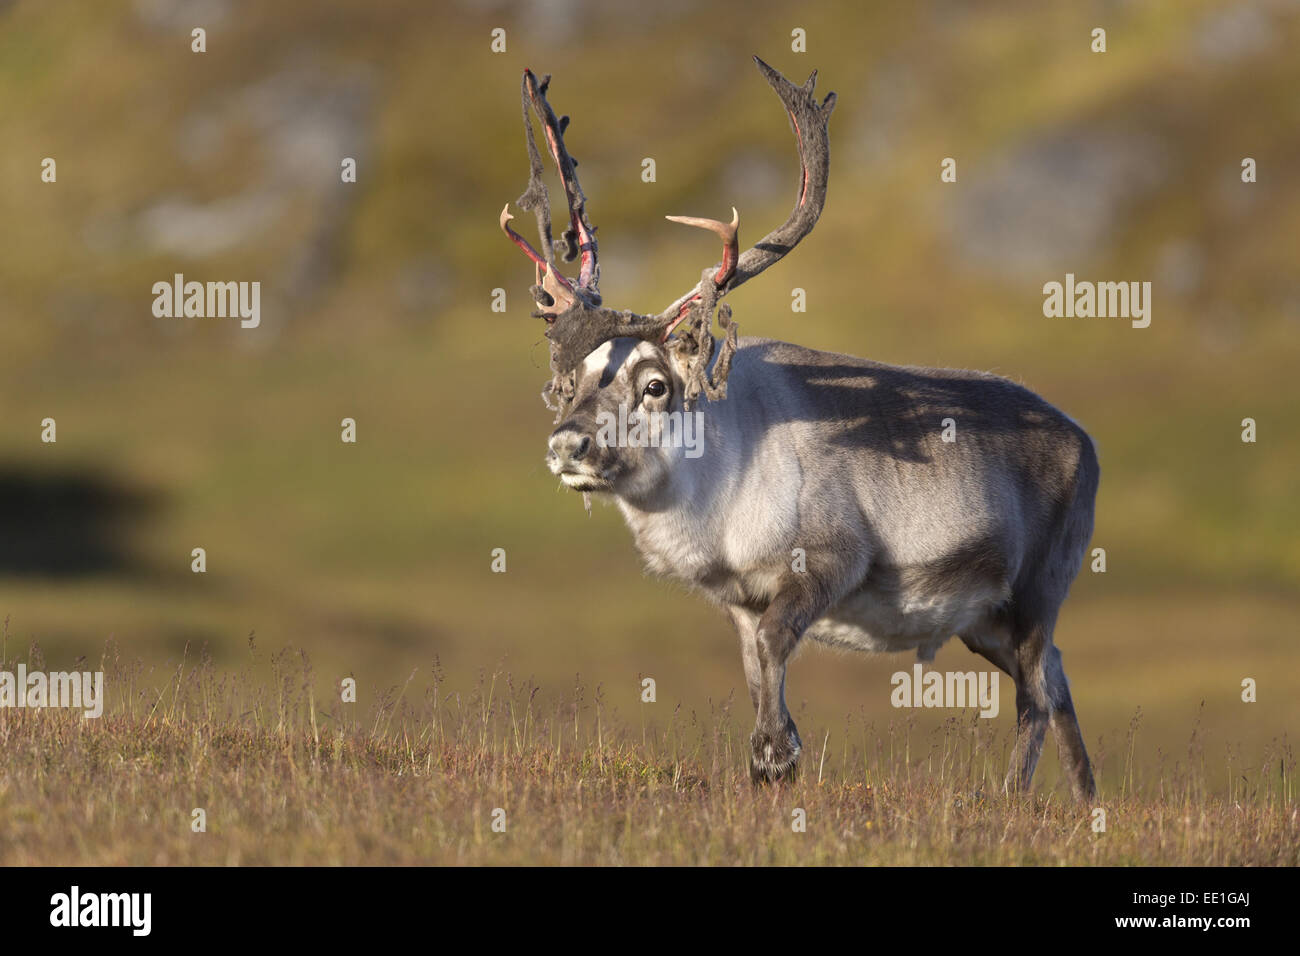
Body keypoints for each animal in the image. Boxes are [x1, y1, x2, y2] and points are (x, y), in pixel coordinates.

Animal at [499, 56, 1099, 800]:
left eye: (656, 385)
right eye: (568, 380)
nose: (568, 444)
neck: (719, 489)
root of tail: (1087, 442)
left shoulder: (829, 561)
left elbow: (778, 645)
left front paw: (775, 755)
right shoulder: (738, 598)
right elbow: (756, 667)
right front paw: (771, 758)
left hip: (1037, 590)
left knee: (1037, 690)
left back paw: (1013, 796)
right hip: (985, 620)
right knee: (1059, 674)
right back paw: (1085, 797)